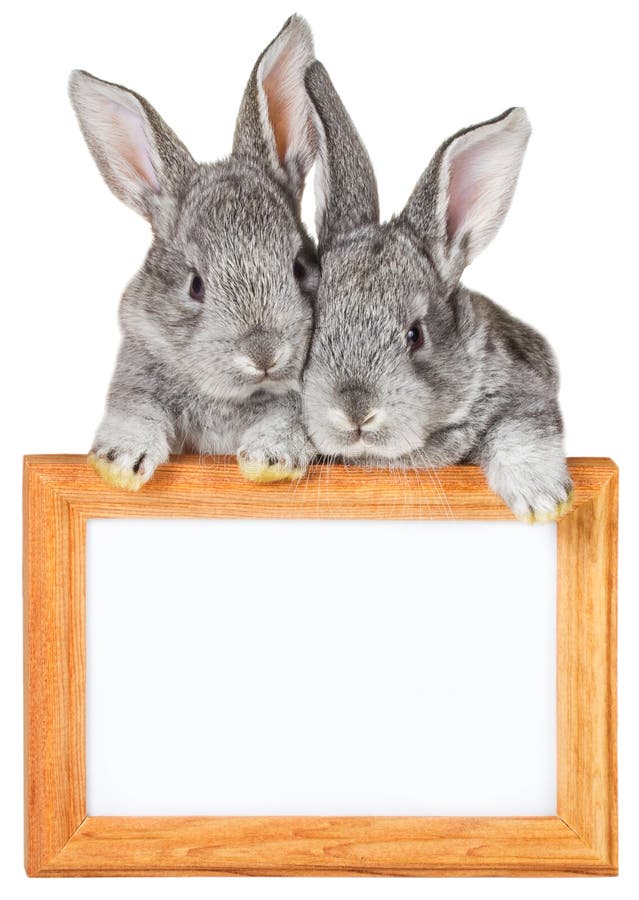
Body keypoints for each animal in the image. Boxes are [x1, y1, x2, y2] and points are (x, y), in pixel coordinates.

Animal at [68, 16, 319, 491]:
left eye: (298, 268)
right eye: (195, 286)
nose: (264, 353)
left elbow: (287, 420)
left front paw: (268, 461)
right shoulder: (137, 376)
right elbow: (136, 414)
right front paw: (118, 463)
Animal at [301, 61, 573, 522]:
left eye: (416, 335)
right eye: (314, 326)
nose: (356, 413)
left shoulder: (525, 392)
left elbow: (521, 431)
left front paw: (542, 500)